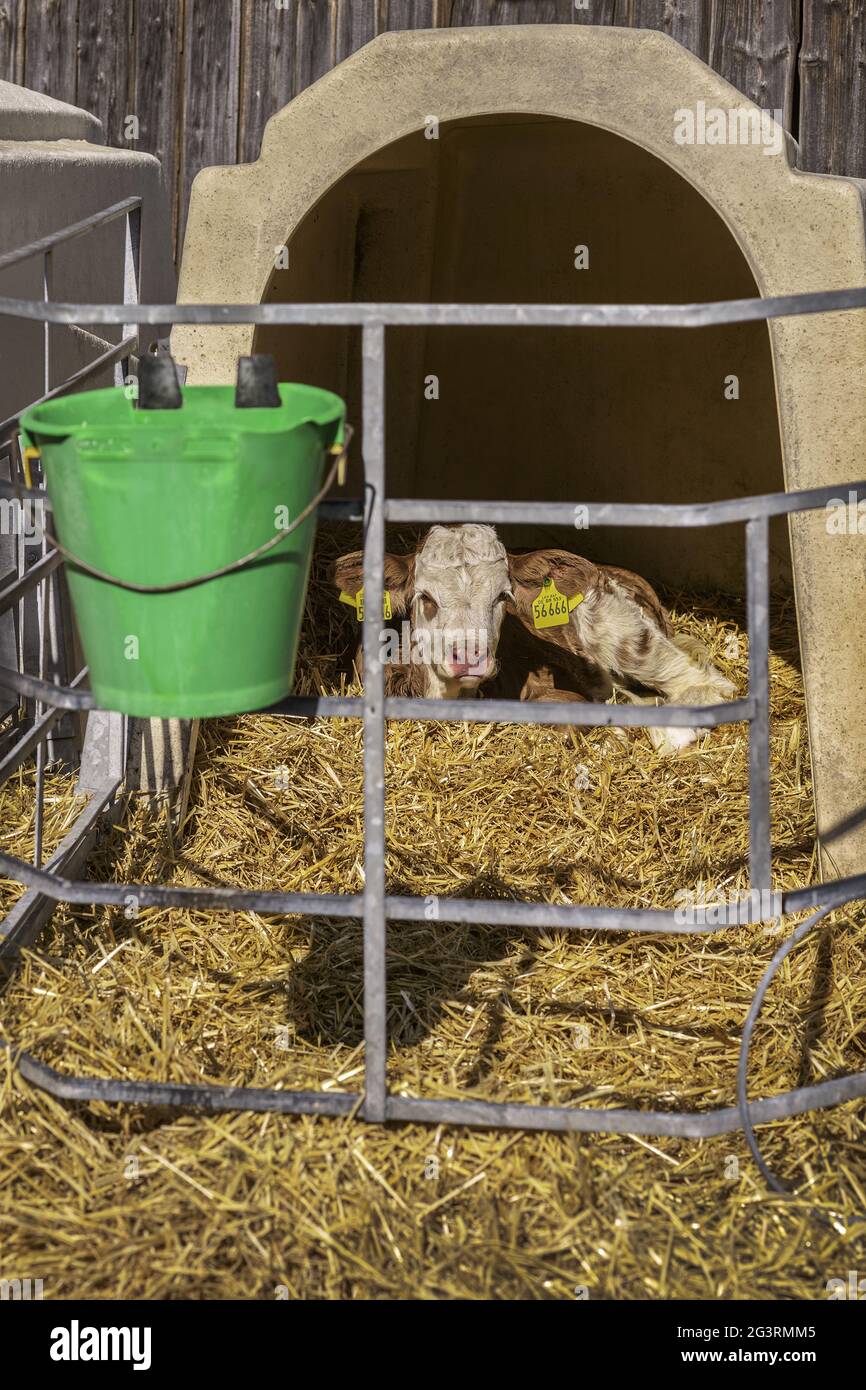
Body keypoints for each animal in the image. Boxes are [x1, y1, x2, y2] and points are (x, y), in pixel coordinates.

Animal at [332, 524, 734, 754]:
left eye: (502, 597)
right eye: (425, 597)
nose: (470, 656)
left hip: (626, 635)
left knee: (706, 683)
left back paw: (673, 732)